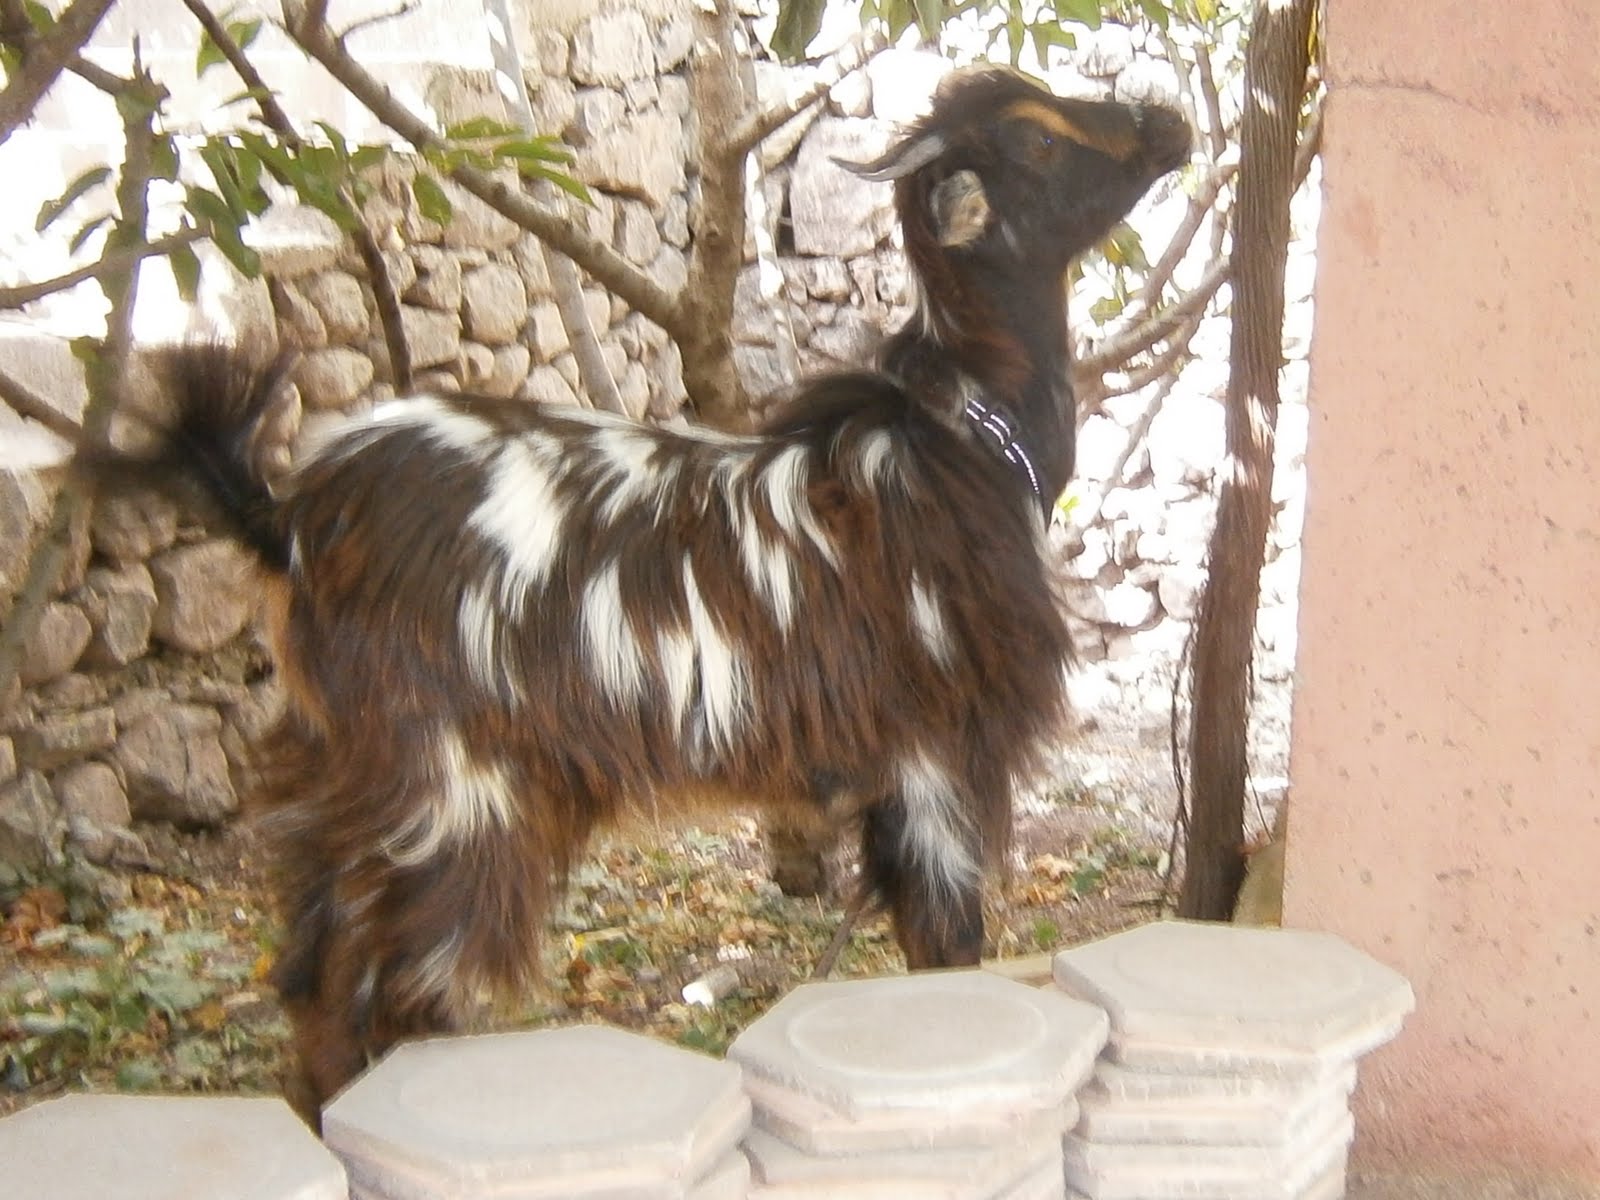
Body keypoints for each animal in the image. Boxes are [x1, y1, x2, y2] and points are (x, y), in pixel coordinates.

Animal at [86, 66, 1189, 1115]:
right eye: (1038, 138)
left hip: (343, 780)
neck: (962, 445)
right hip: (451, 793)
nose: (1168, 122)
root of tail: (292, 517)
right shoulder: (938, 756)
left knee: (315, 983)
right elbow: (948, 949)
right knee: (398, 997)